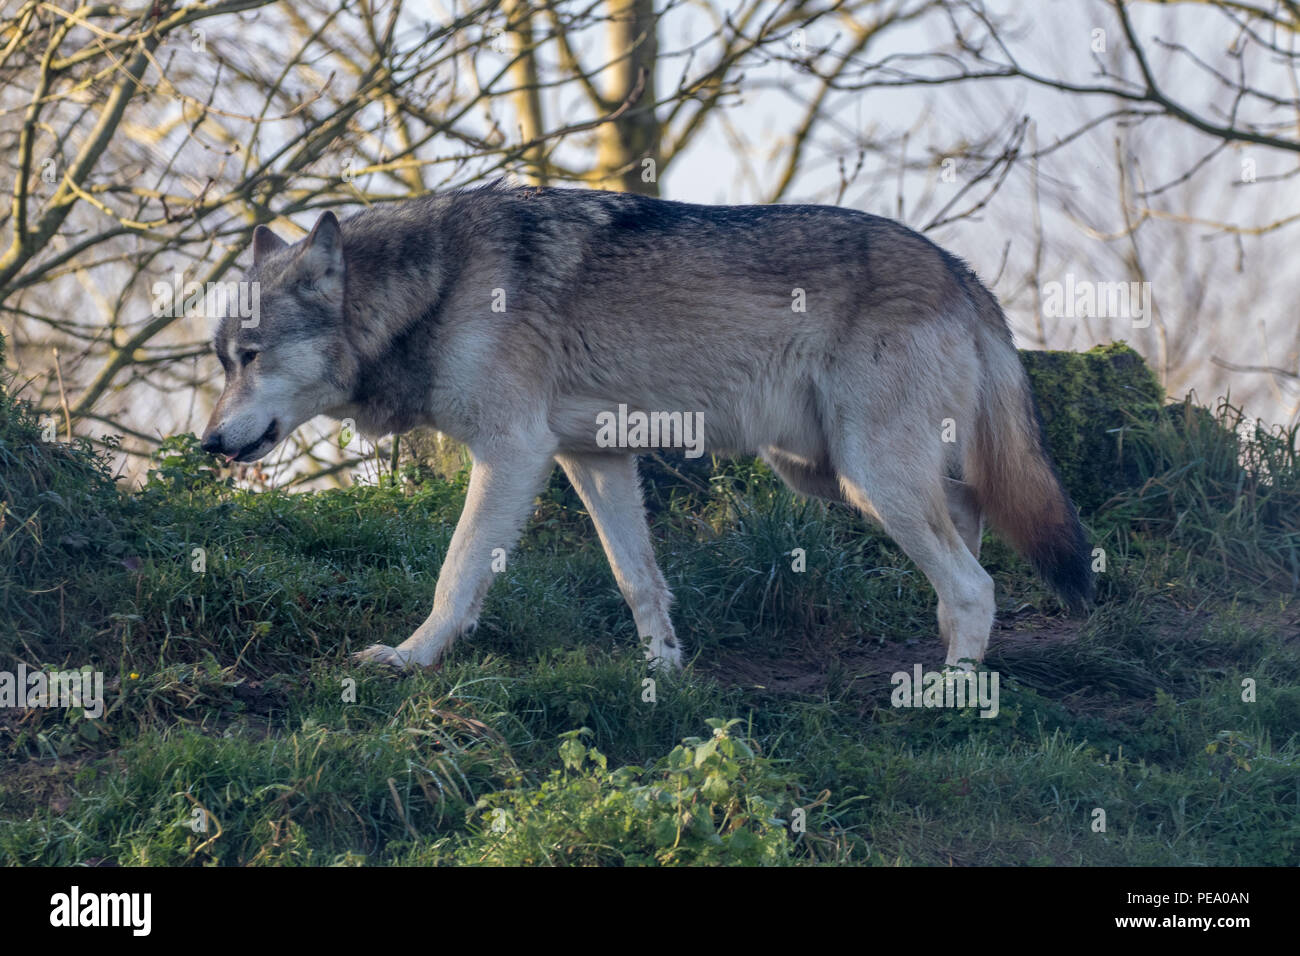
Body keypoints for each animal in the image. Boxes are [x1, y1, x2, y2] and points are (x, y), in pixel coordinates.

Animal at [200, 183, 1092, 671]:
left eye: (249, 356)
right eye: (220, 360)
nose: (206, 442)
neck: (437, 287)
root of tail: (961, 272)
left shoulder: (513, 454)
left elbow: (457, 572)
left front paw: (411, 658)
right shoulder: (591, 457)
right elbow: (637, 577)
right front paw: (664, 671)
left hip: (868, 475)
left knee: (975, 585)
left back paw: (951, 693)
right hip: (832, 472)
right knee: (970, 533)